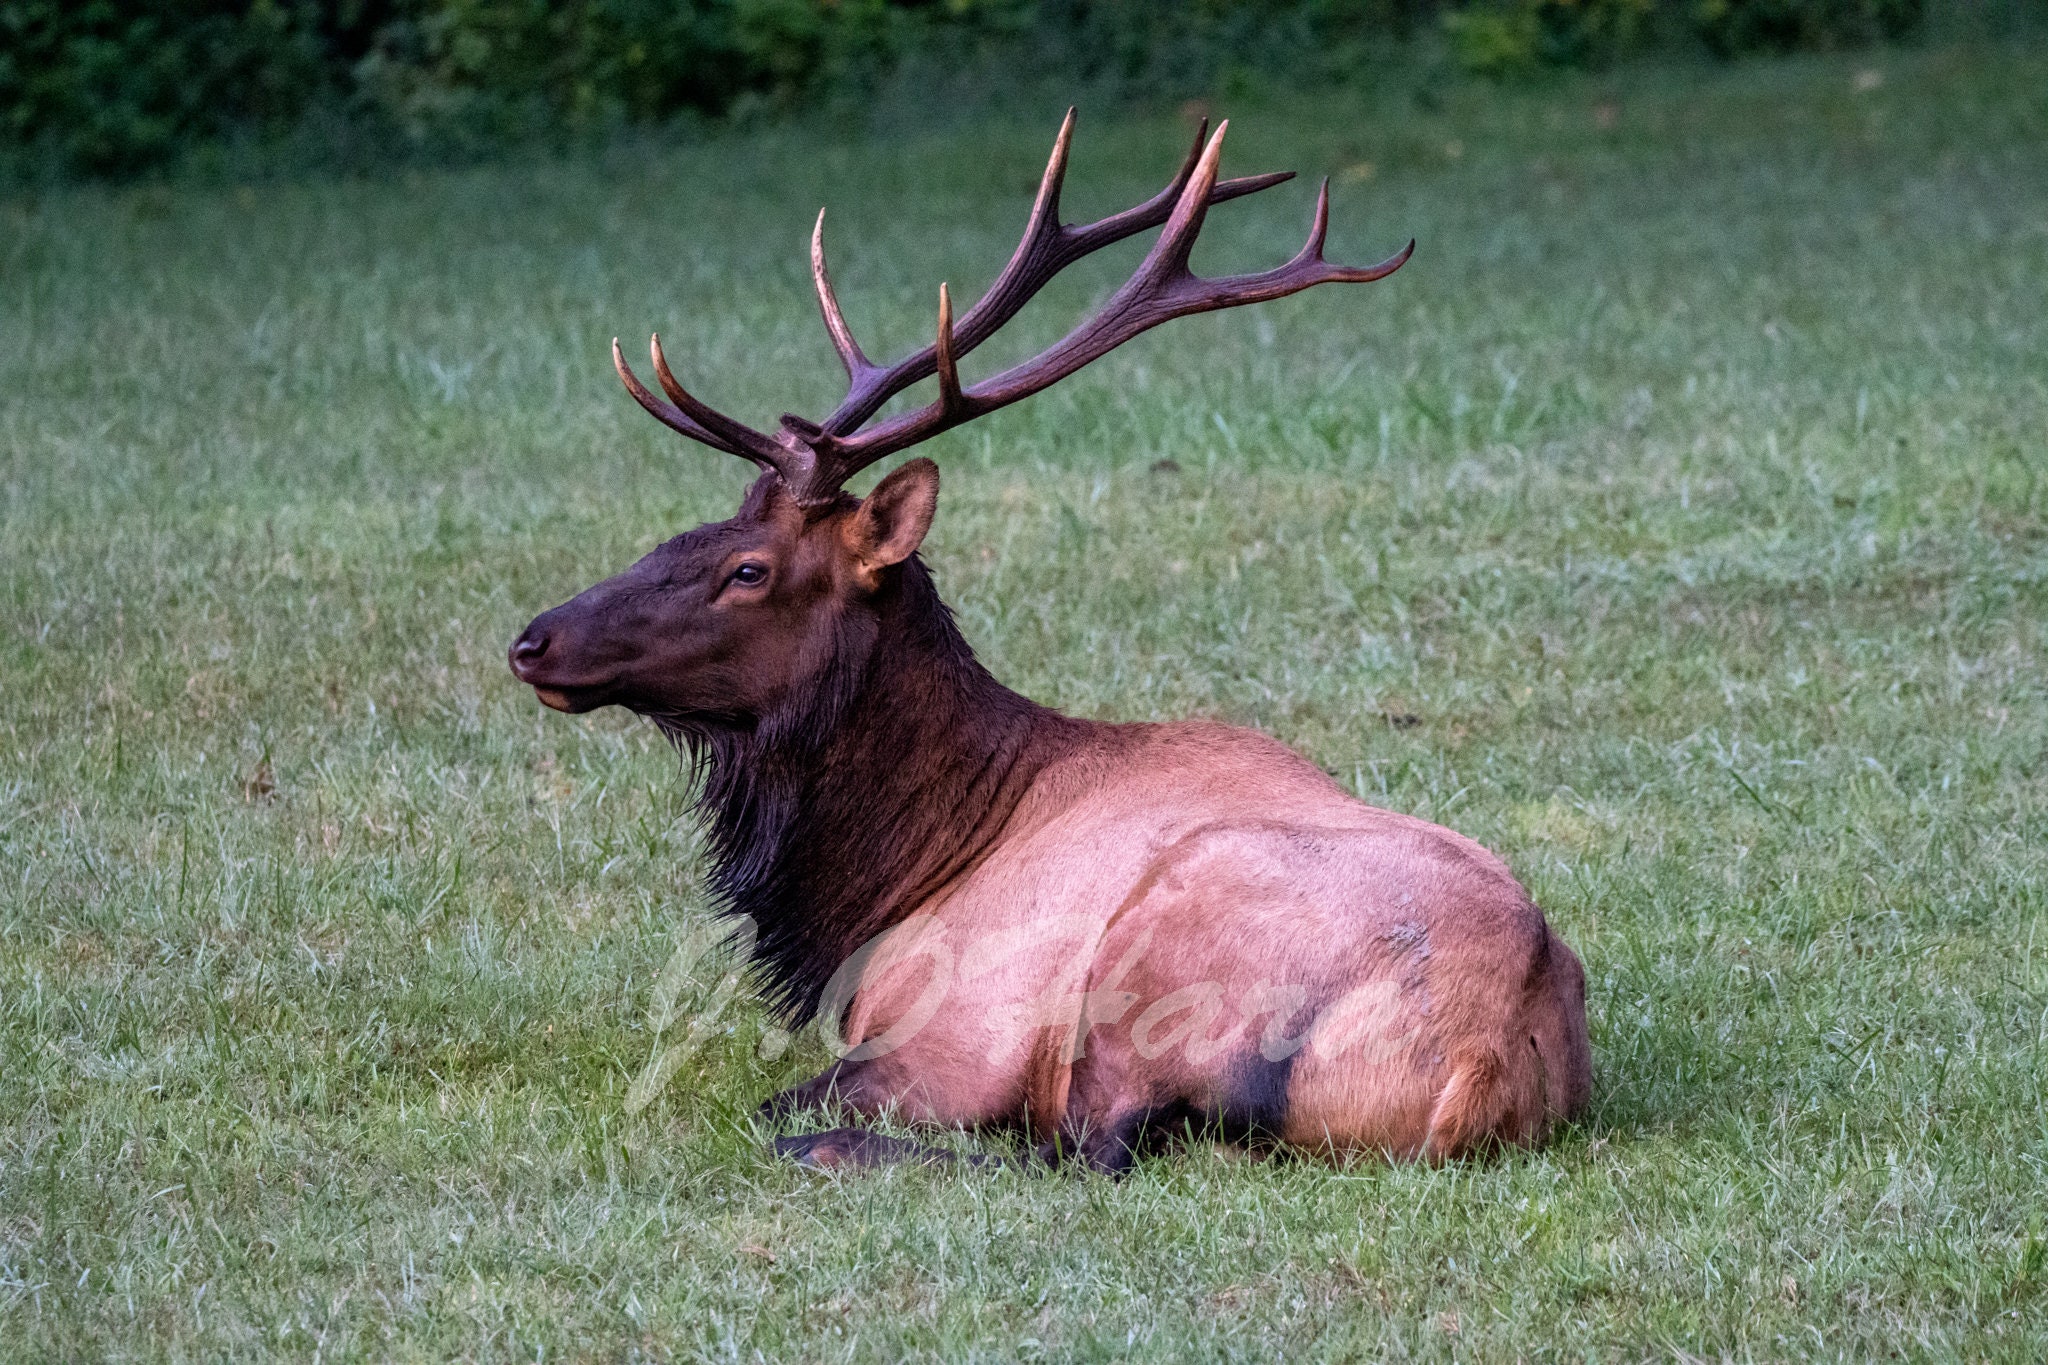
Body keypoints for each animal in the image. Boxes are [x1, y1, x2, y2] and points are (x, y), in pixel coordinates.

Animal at [508, 112, 1592, 1174]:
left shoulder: (958, 1038)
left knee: (1078, 1151)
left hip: (1158, 949)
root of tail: (1485, 1062)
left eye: (748, 570)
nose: (532, 642)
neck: (887, 887)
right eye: (682, 535)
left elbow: (792, 1097)